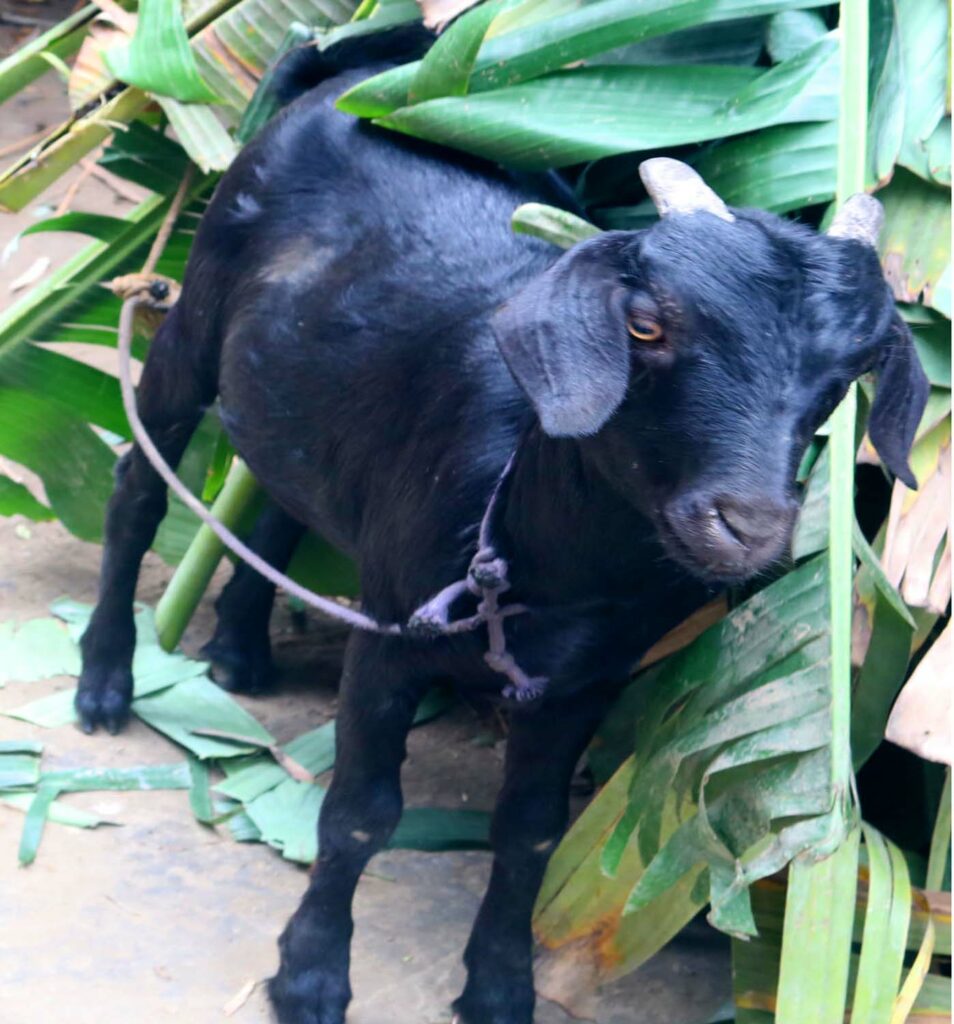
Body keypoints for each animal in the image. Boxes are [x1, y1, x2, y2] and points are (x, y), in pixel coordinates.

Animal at [76, 28, 929, 1024]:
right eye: (646, 325)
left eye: (849, 374)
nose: (745, 525)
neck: (539, 556)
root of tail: (345, 71)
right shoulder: (393, 636)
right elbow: (360, 814)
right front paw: (311, 975)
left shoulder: (580, 686)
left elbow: (530, 834)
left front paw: (497, 984)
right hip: (198, 309)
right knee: (140, 481)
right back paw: (104, 681)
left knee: (276, 486)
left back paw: (240, 650)